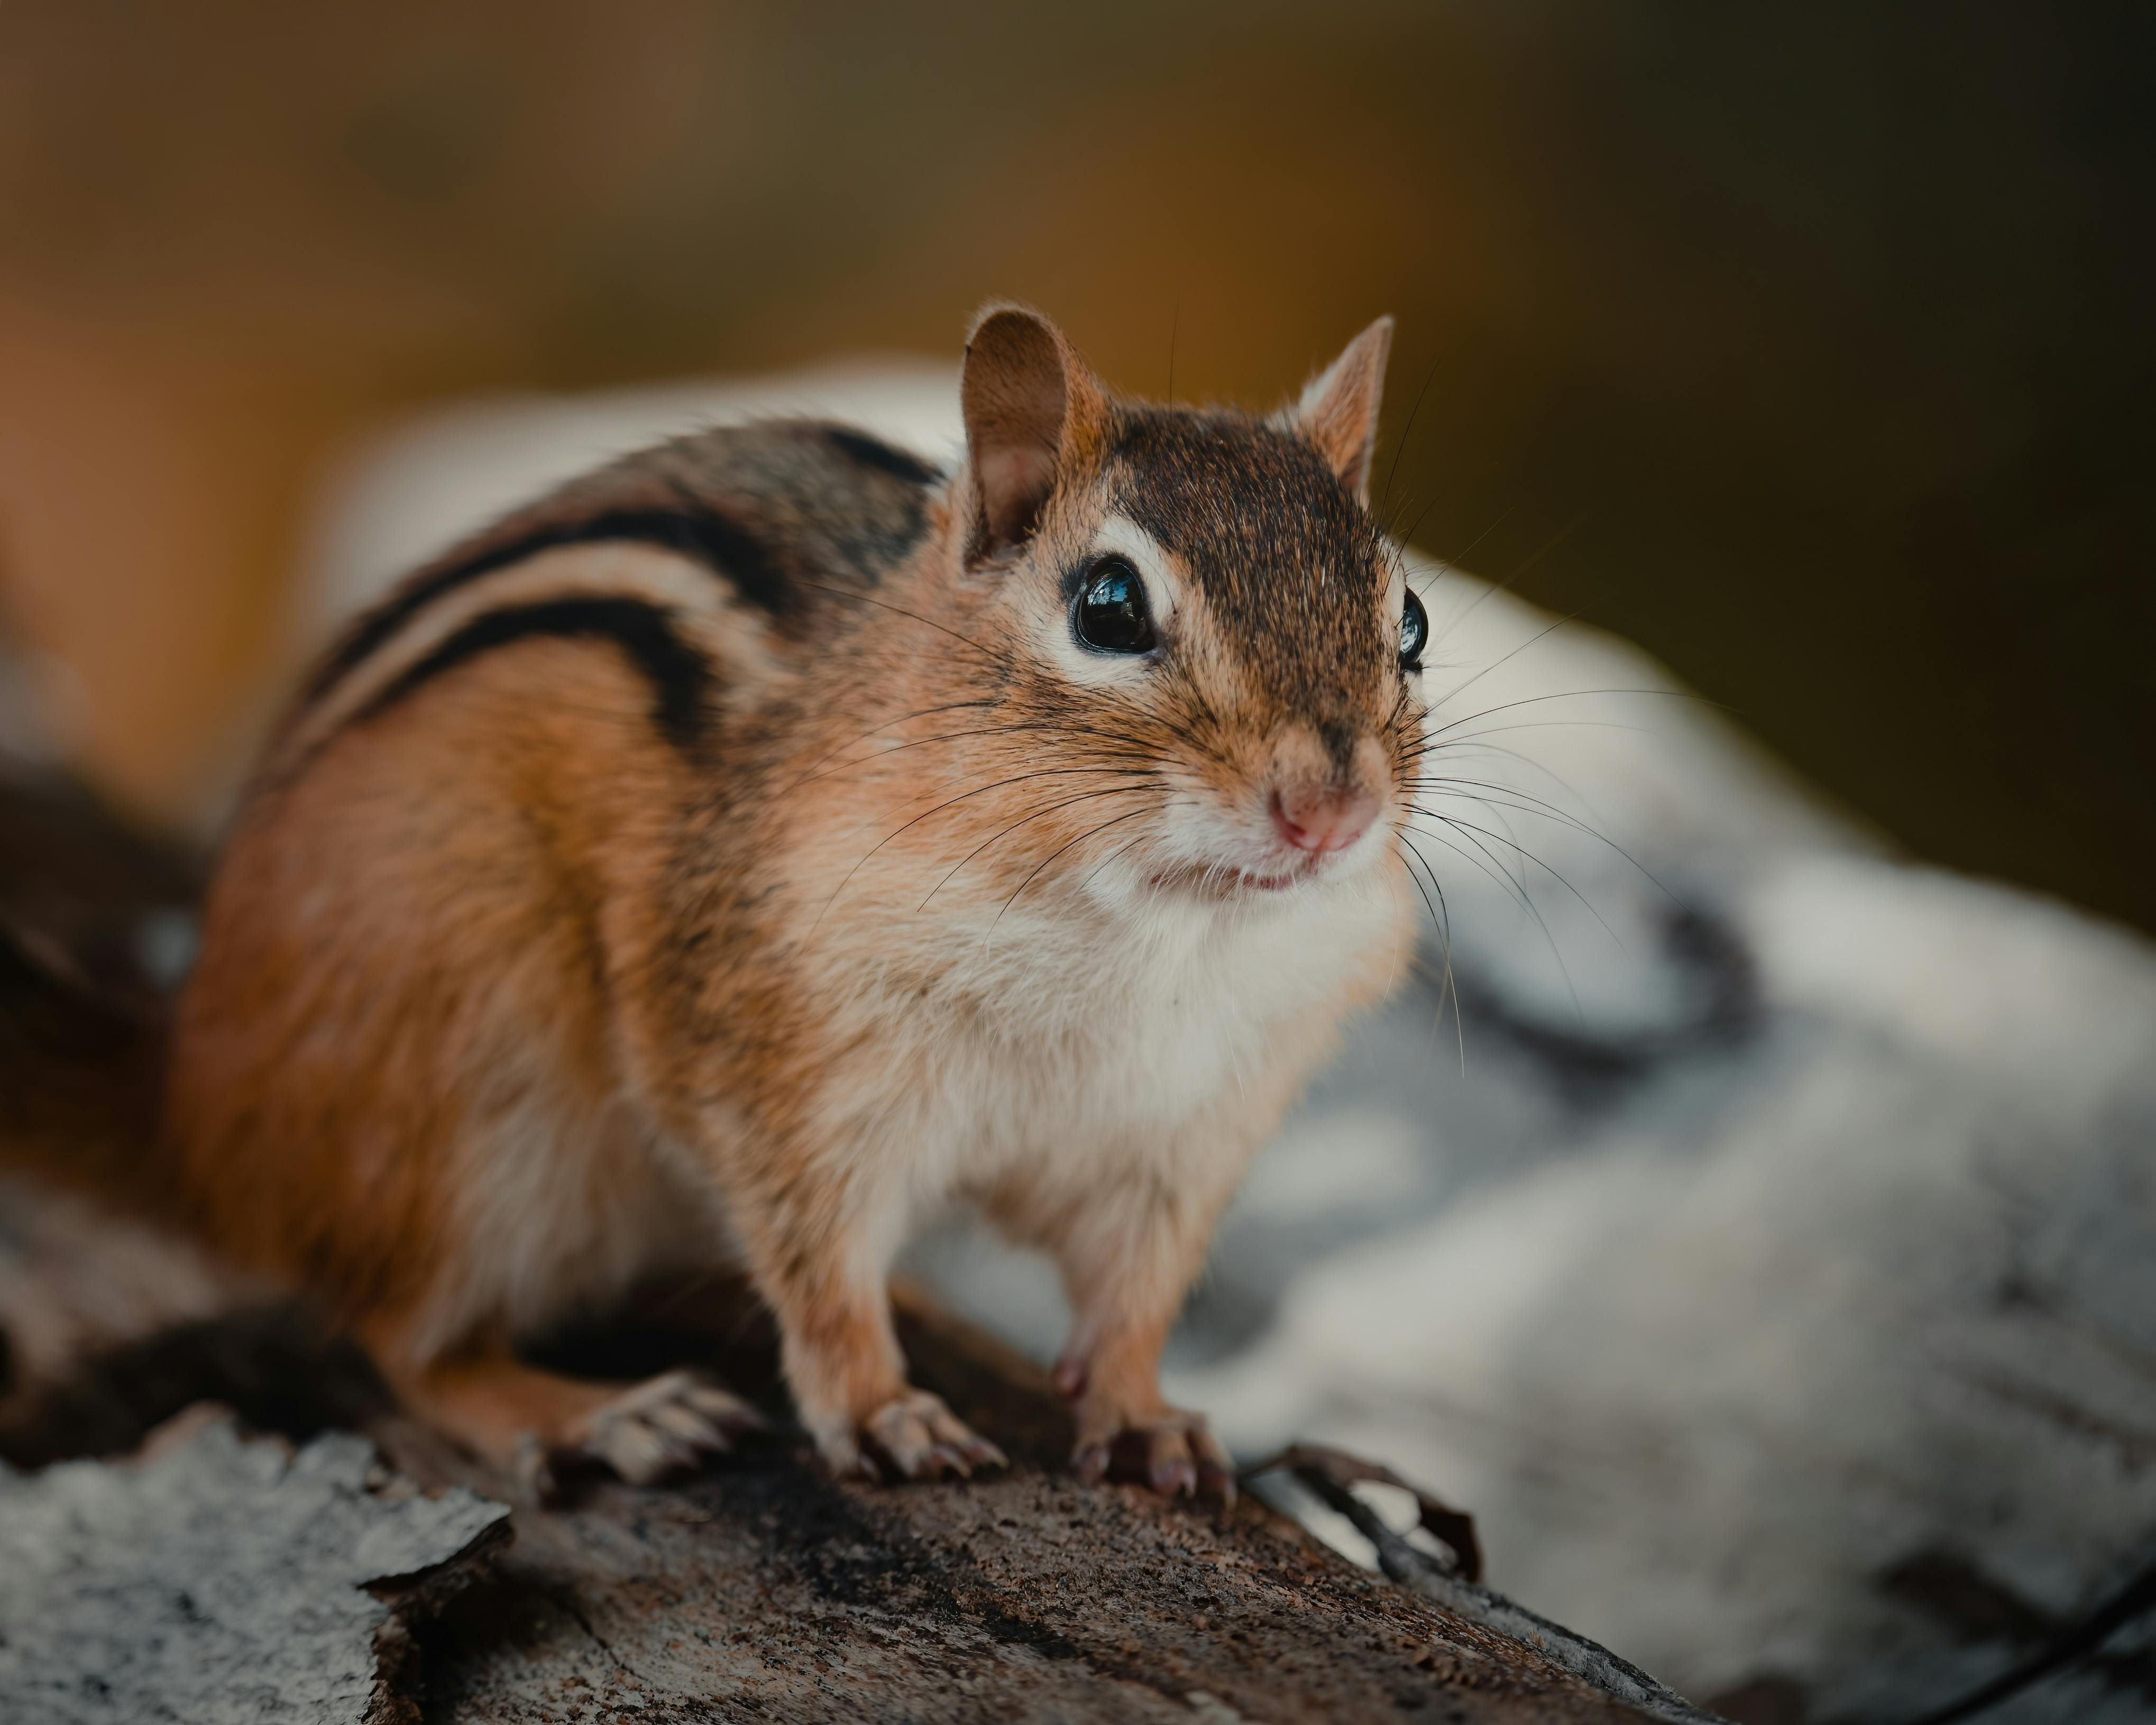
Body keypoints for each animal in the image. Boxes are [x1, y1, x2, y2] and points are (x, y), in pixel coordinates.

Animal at [162, 305, 1429, 1500]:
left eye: (1410, 621)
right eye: (1109, 606)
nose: (1331, 809)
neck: (1153, 926)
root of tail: (211, 1143)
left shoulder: (1183, 1124)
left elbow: (1136, 1292)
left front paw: (1140, 1414)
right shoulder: (775, 1051)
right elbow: (819, 1262)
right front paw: (880, 1410)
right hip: (454, 1111)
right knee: (404, 1340)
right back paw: (599, 1415)